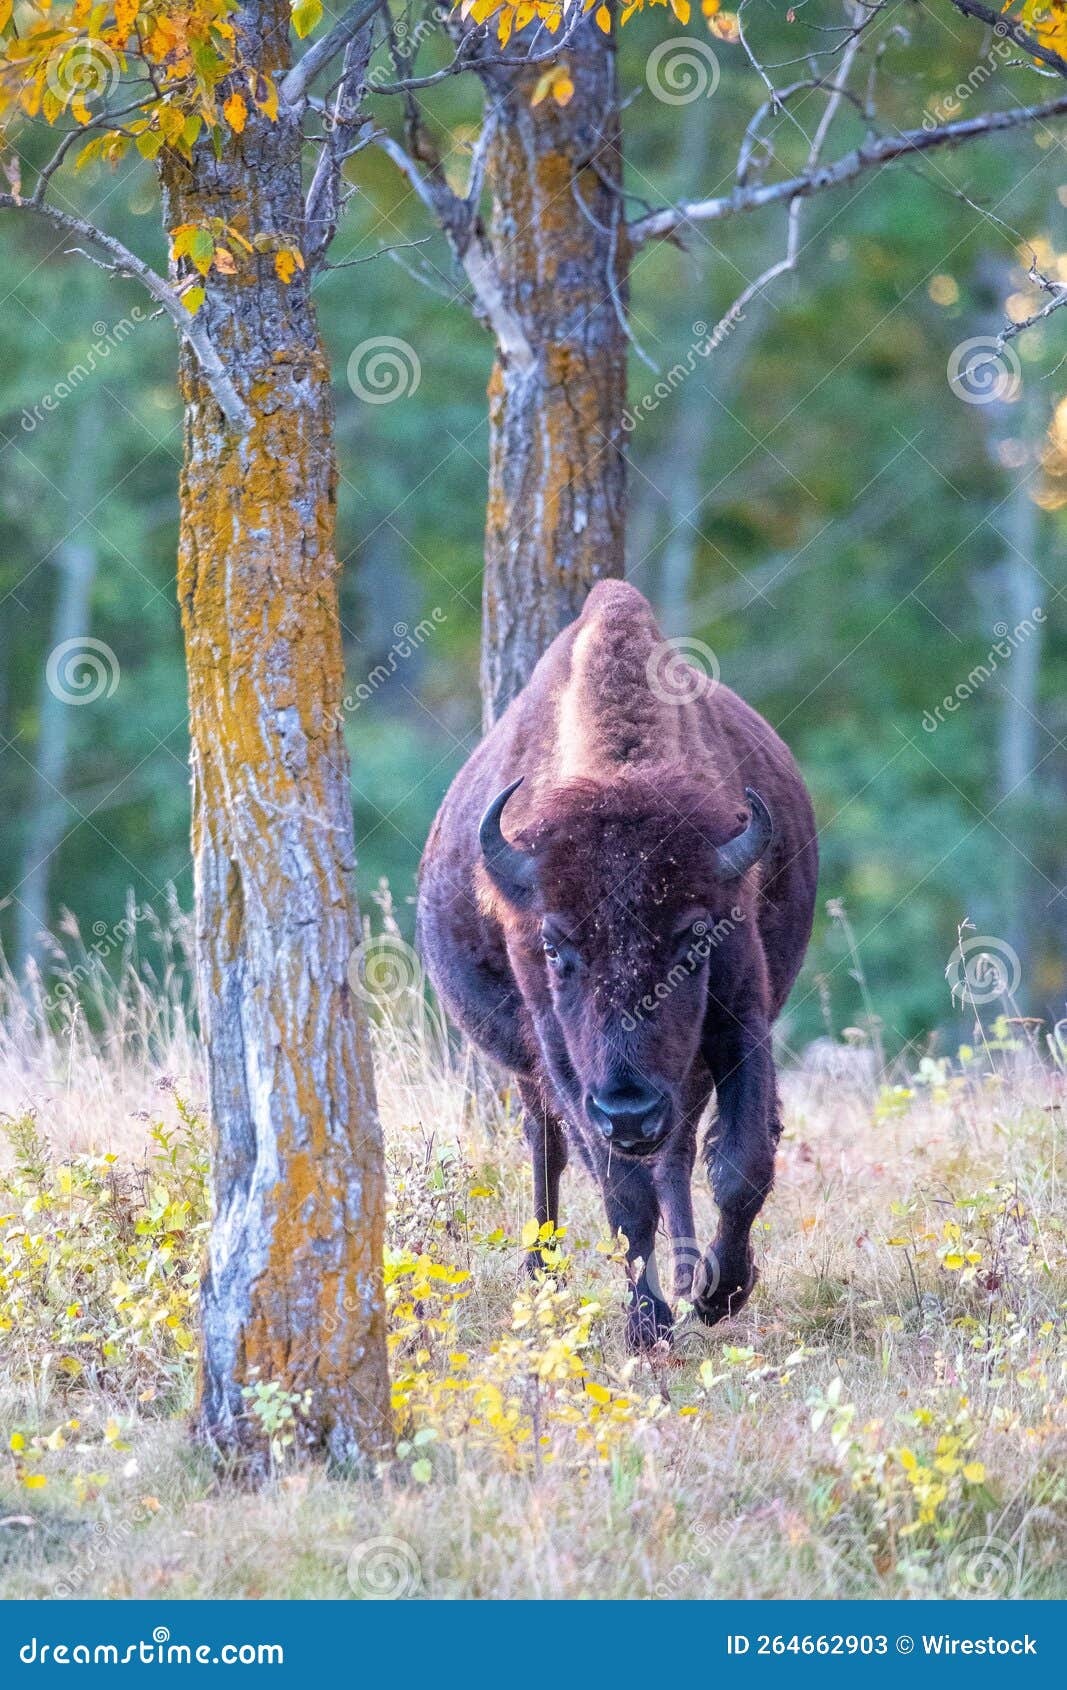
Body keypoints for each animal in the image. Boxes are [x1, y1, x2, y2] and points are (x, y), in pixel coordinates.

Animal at [417, 581, 818, 1348]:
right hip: (536, 1072)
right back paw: (544, 1272)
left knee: (677, 1152)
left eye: (695, 940)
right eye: (554, 947)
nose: (628, 1109)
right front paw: (648, 1324)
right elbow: (620, 1192)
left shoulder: (740, 1021)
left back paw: (689, 1269)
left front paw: (720, 1293)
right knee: (548, 1146)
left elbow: (741, 1164)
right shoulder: (564, 1058)